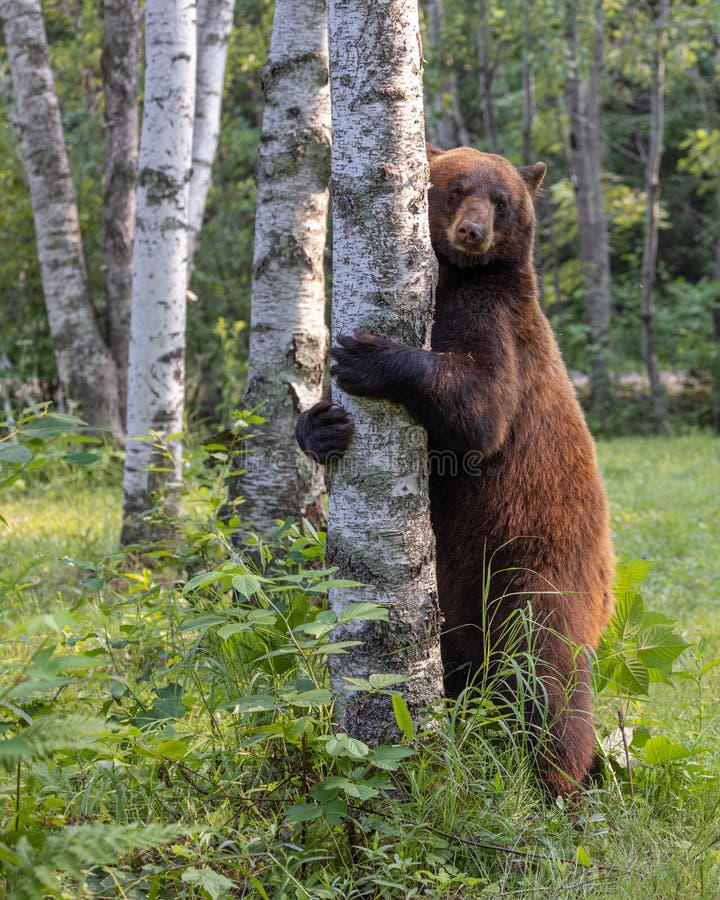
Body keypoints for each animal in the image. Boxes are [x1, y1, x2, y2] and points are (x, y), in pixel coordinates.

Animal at [295, 145, 615, 800]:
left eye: (501, 200)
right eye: (457, 188)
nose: (472, 232)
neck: (454, 280)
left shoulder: (499, 322)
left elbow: (480, 404)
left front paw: (370, 355)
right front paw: (322, 425)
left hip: (538, 566)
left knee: (547, 674)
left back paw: (560, 783)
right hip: (458, 591)